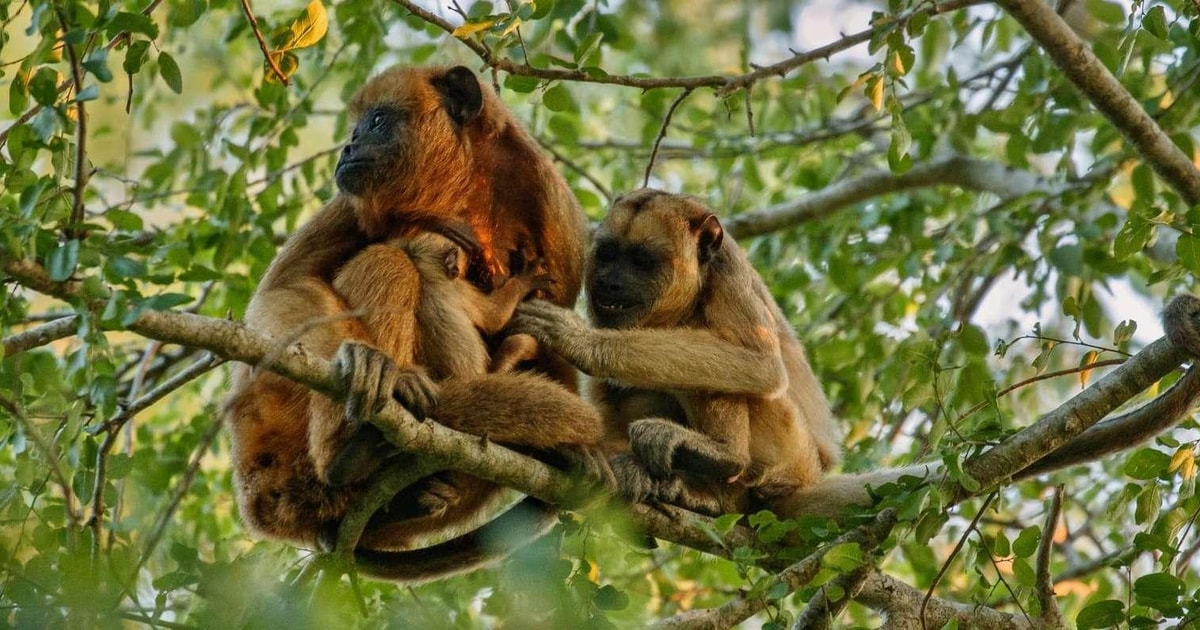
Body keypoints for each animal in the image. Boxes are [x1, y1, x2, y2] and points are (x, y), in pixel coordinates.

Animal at [223, 64, 601, 582]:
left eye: (378, 121)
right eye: (355, 127)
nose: (348, 147)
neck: (464, 183)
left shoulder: (556, 215)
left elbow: (551, 344)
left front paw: (573, 451)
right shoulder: (352, 199)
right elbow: (285, 288)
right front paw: (366, 361)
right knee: (387, 262)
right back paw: (352, 445)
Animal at [509, 188, 842, 518]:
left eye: (642, 261)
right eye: (608, 254)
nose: (610, 282)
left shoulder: (728, 273)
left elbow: (762, 364)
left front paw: (580, 342)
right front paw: (580, 453)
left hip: (789, 449)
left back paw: (724, 456)